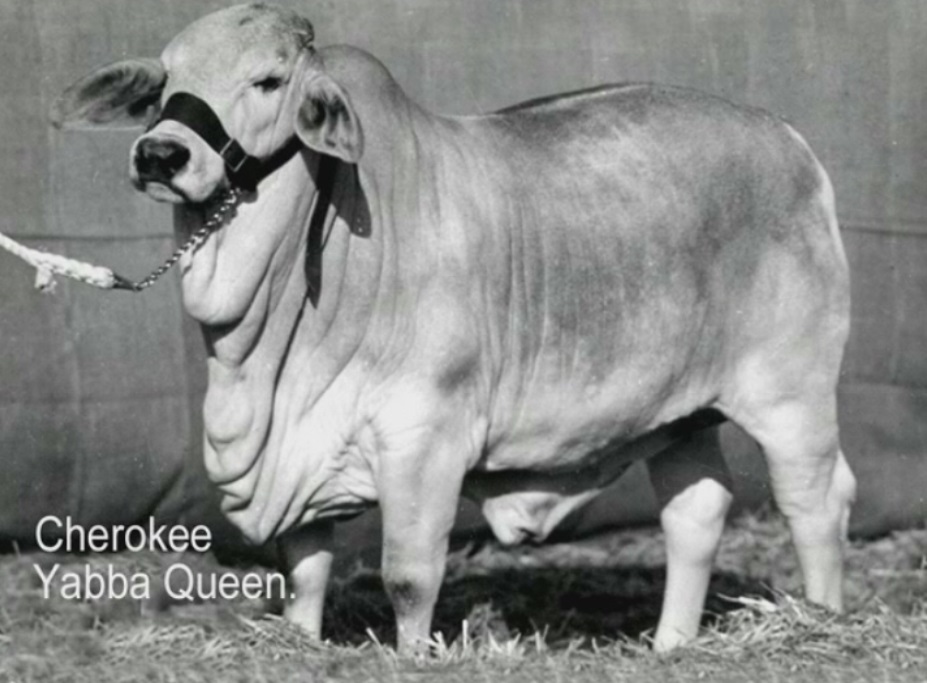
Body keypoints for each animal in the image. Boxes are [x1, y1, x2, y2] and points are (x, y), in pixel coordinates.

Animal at [51, 3, 855, 654]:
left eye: (270, 81)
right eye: (163, 84)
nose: (161, 154)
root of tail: (786, 138)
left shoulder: (423, 436)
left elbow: (410, 575)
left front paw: (412, 655)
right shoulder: (298, 449)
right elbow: (305, 569)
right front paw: (300, 640)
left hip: (792, 393)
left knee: (815, 500)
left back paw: (819, 624)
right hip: (680, 416)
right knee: (695, 510)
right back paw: (670, 645)